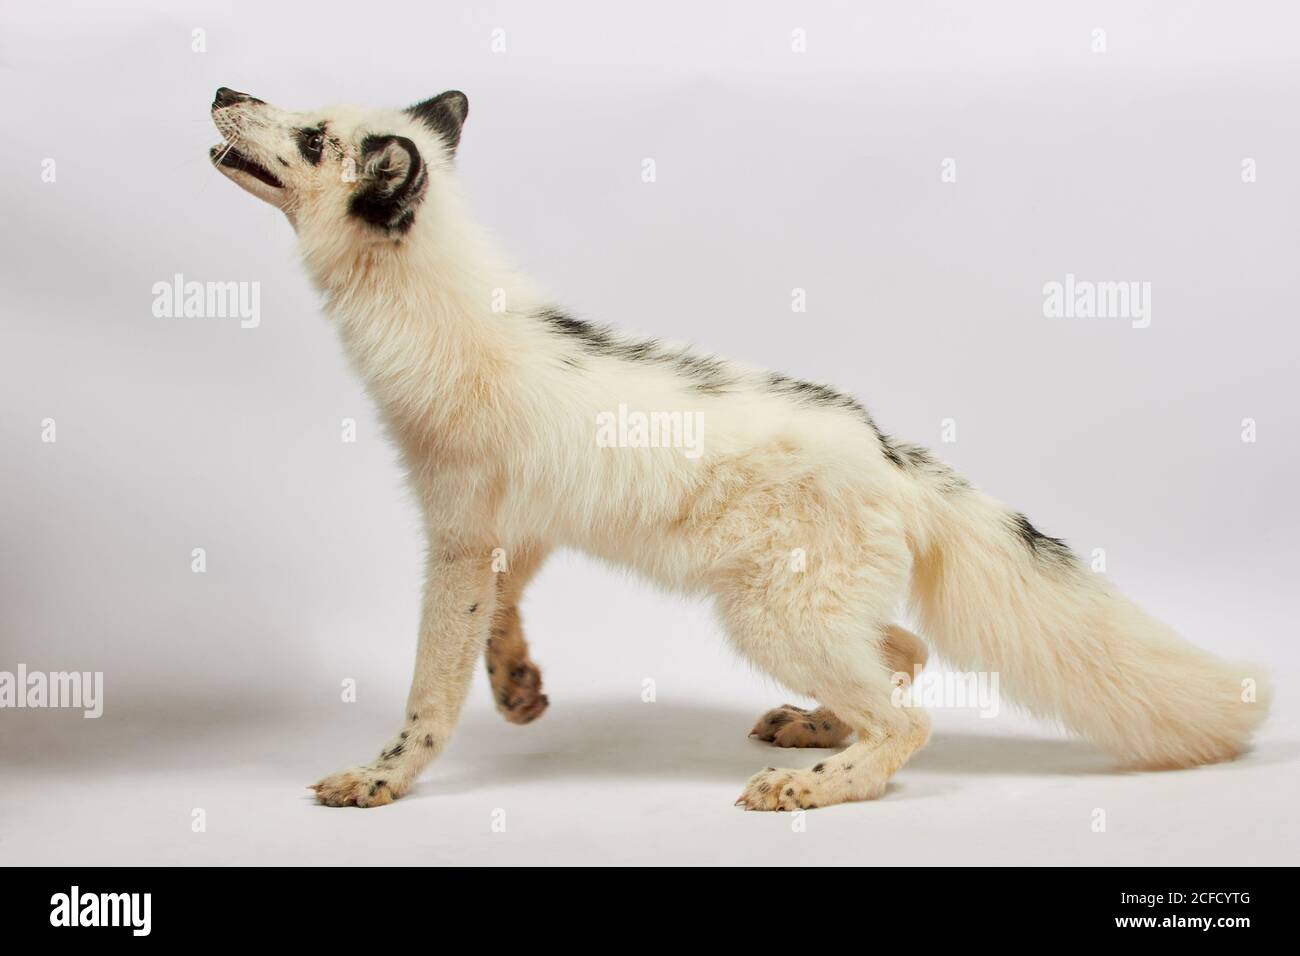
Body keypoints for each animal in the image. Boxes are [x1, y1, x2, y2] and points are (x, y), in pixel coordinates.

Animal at [208, 86, 1270, 810]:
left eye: (310, 137)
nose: (222, 89)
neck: (444, 321)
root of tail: (890, 451)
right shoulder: (519, 530)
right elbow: (503, 625)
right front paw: (519, 692)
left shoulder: (458, 536)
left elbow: (431, 689)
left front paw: (385, 777)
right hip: (797, 619)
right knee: (905, 652)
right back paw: (816, 731)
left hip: (771, 622)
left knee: (912, 713)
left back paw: (819, 785)